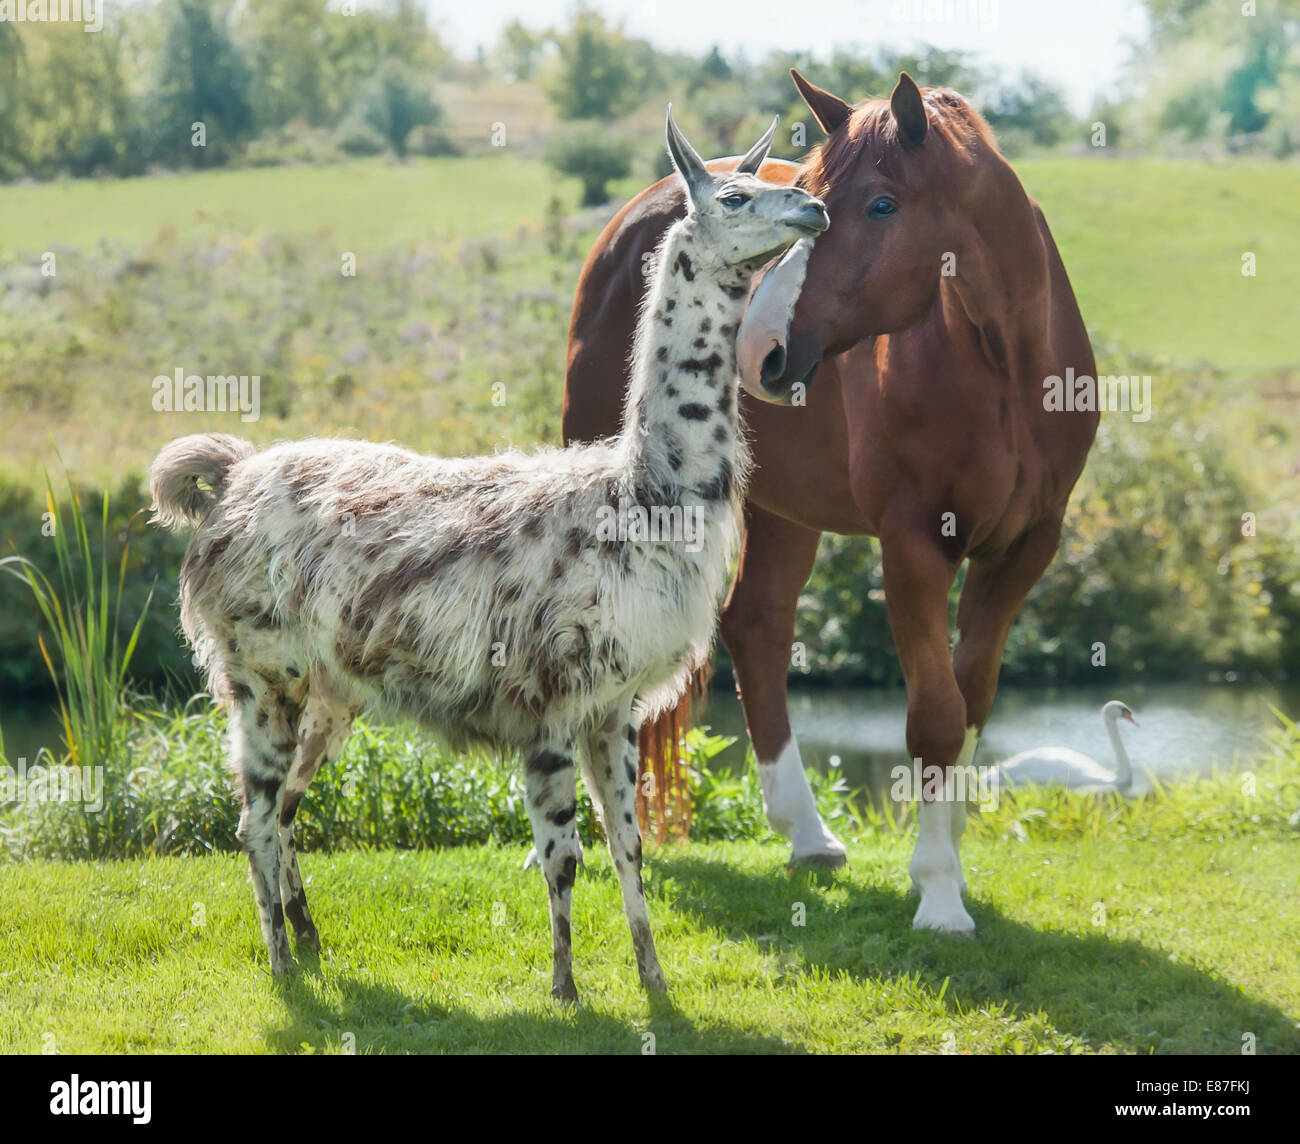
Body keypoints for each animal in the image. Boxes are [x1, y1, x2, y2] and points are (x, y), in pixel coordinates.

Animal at [562, 71, 1098, 934]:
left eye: (881, 205)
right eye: (812, 198)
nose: (759, 351)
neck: (1003, 370)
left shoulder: (1024, 551)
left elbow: (972, 704)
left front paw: (945, 866)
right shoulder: (913, 546)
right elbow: (934, 714)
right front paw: (938, 896)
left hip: (787, 515)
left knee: (757, 630)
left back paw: (807, 836)